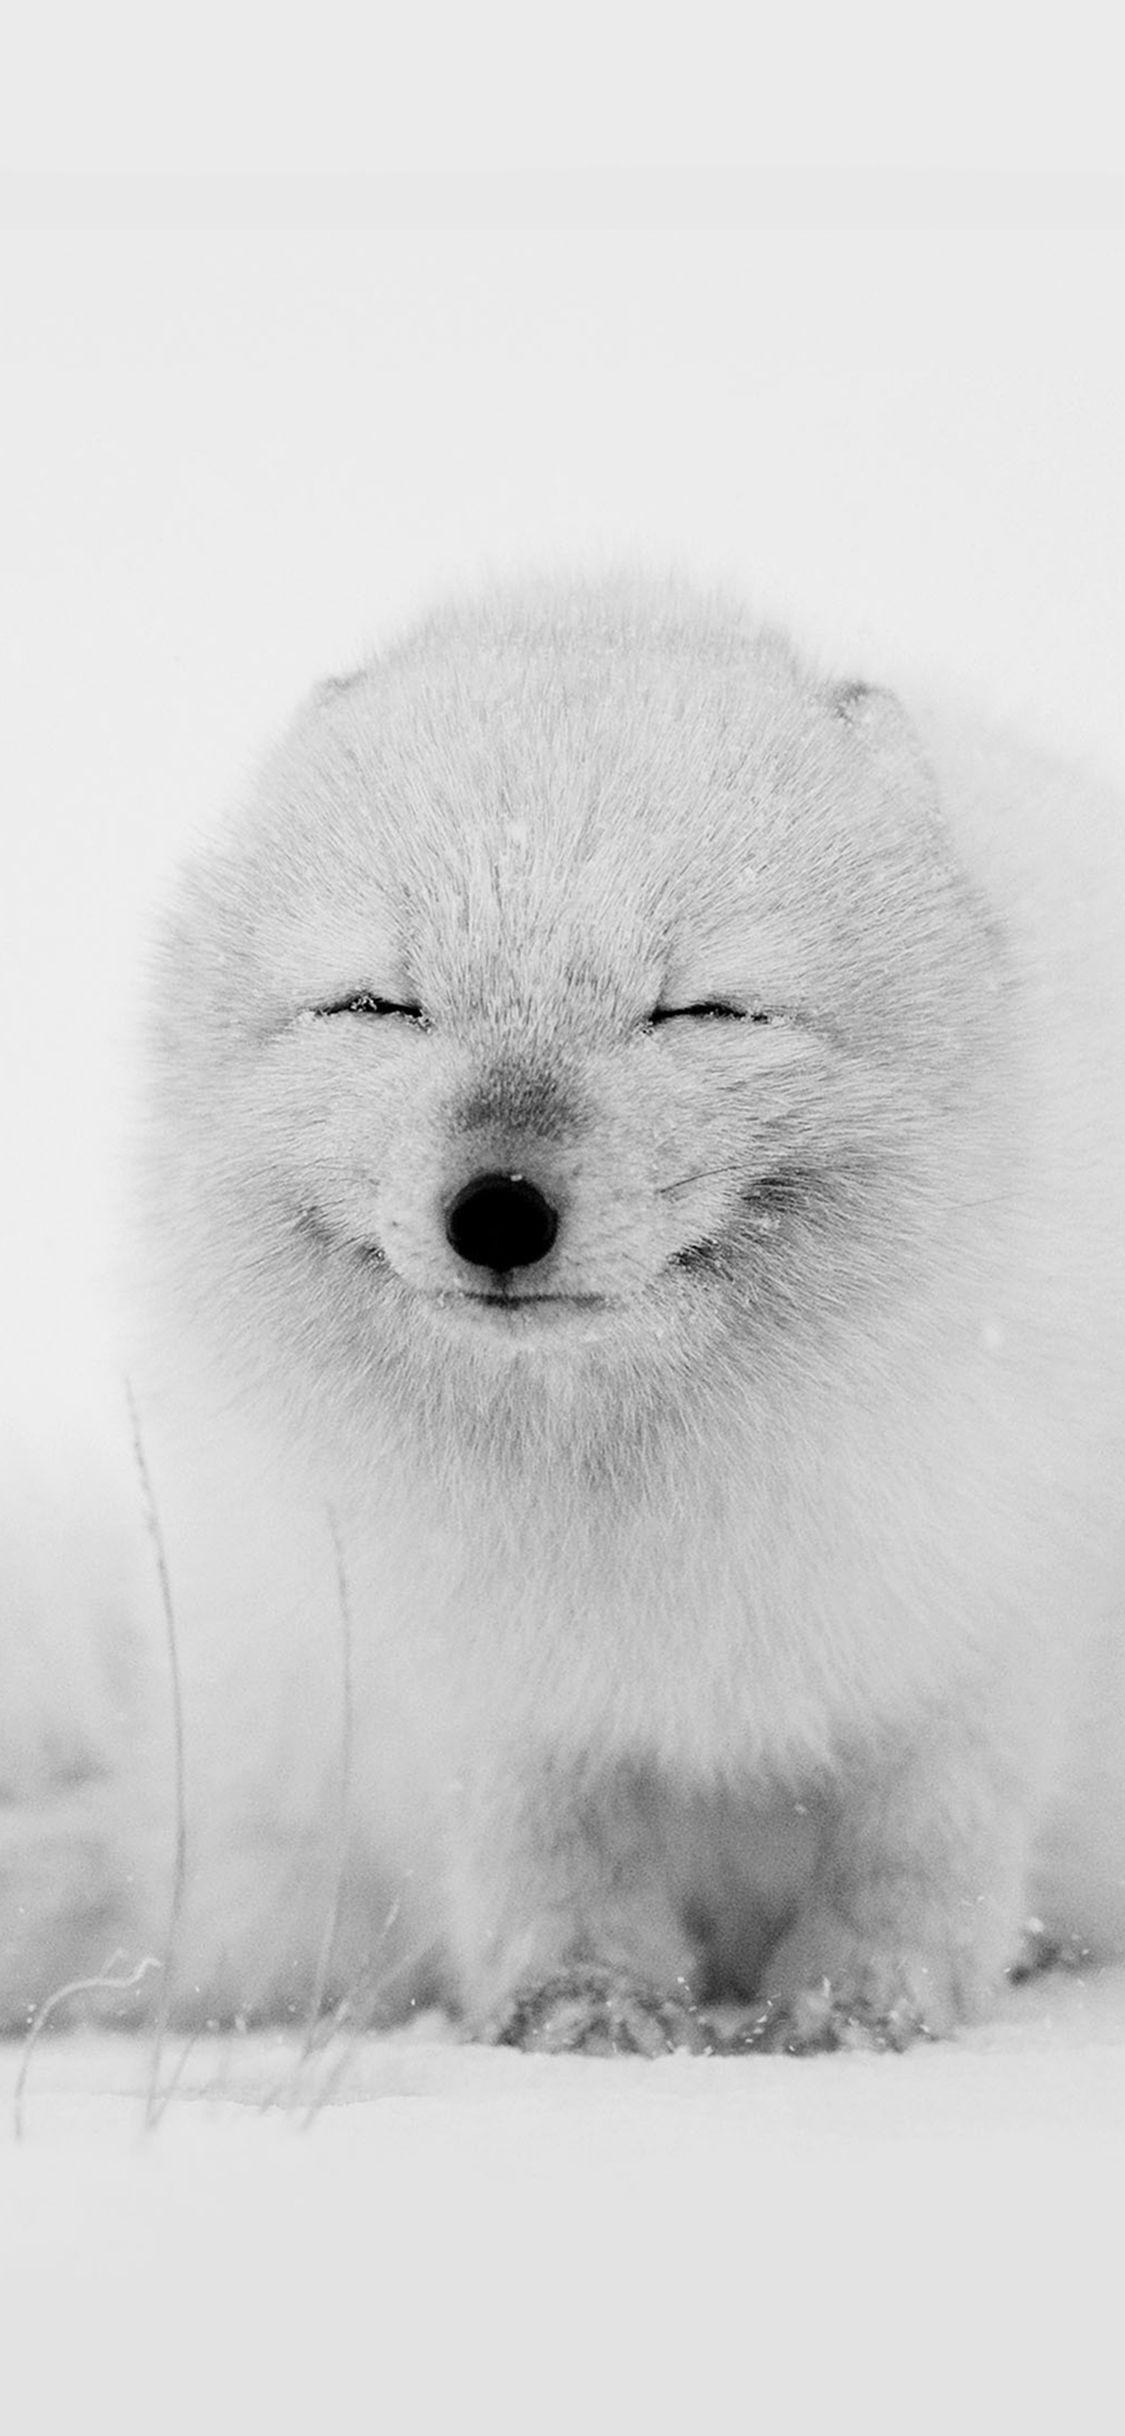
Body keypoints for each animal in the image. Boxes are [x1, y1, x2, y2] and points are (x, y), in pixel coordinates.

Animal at [5, 573, 1125, 2054]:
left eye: (701, 1009)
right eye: (381, 1004)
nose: (496, 1212)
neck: (624, 1487)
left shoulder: (986, 1623)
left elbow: (919, 1850)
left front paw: (857, 2015)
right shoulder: (483, 1681)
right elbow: (550, 1856)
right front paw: (583, 2016)